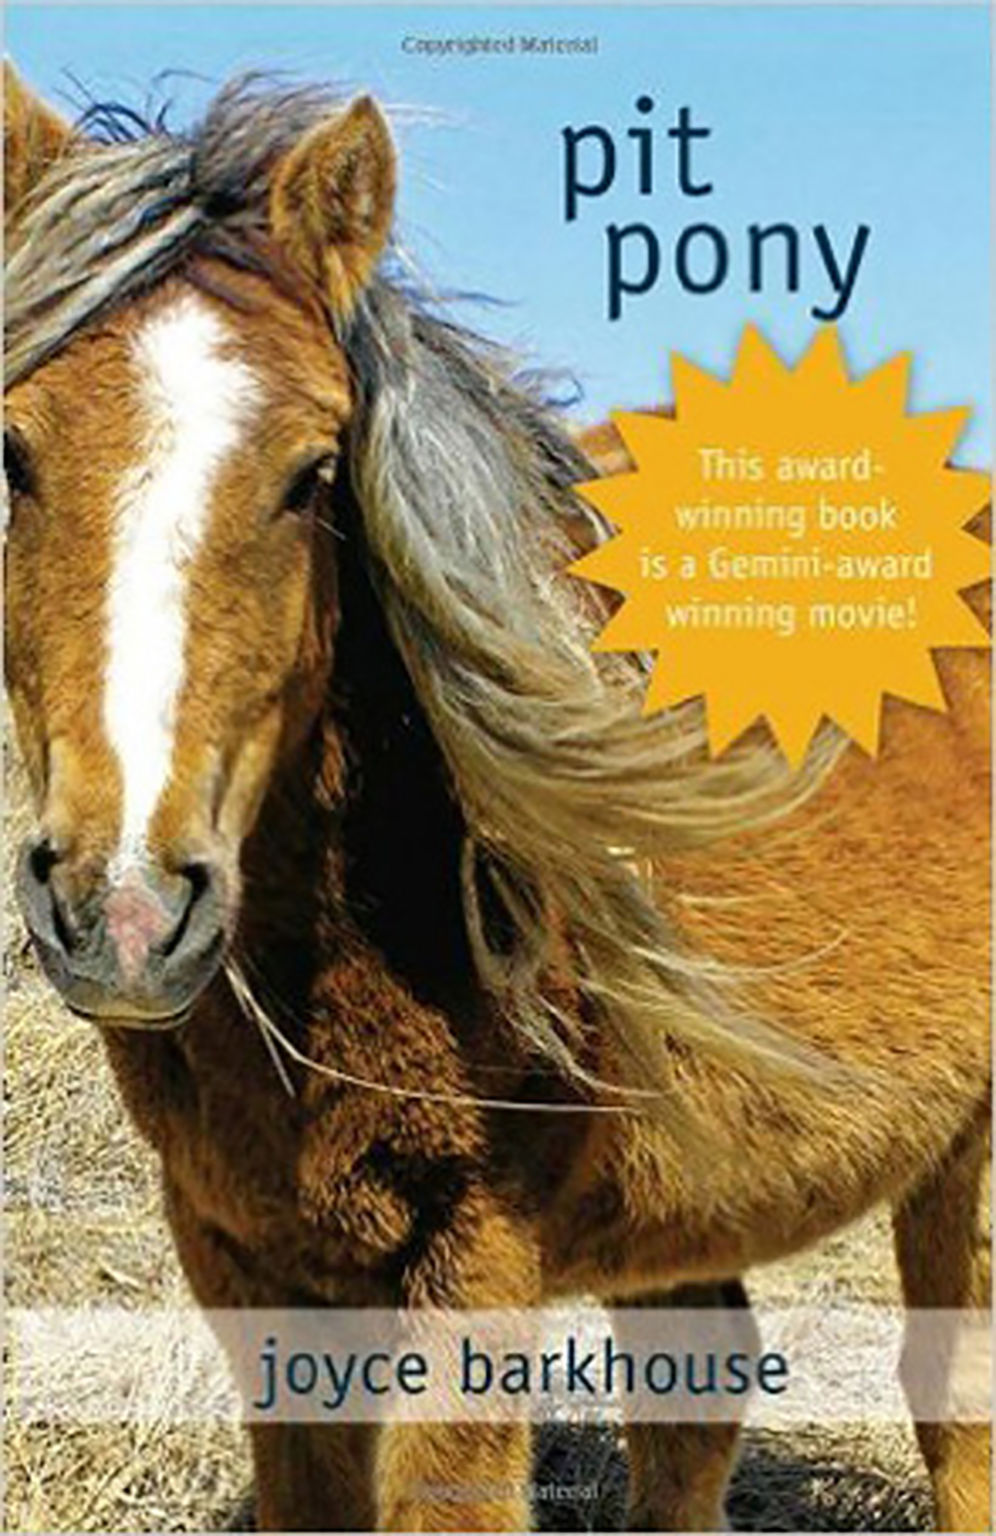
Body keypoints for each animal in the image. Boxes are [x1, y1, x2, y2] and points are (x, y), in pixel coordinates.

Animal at [4, 66, 991, 1533]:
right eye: (12, 455)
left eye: (312, 474)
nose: (122, 911)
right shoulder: (241, 1256)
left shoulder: (473, 1262)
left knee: (953, 1405)